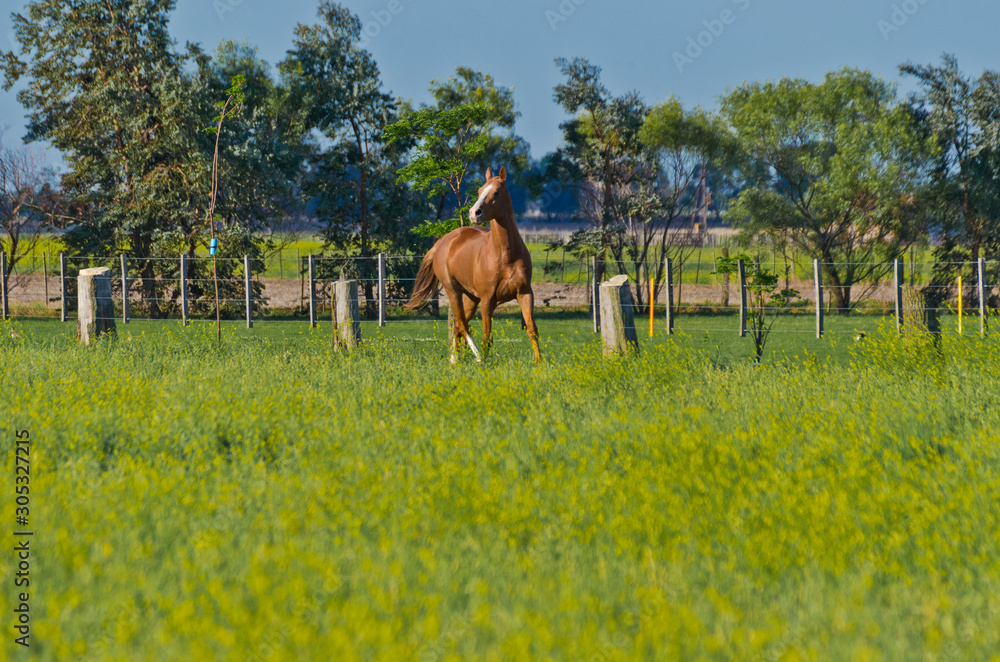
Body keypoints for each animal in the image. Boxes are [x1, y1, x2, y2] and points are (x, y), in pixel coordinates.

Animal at [405, 166, 541, 364]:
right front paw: (484, 361)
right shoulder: (487, 300)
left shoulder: (524, 293)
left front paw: (539, 362)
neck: (505, 256)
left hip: (471, 298)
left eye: (496, 192)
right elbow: (487, 336)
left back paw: (455, 361)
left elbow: (532, 330)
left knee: (458, 326)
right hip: (453, 292)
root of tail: (442, 242)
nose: (474, 213)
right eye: (479, 191)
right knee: (462, 325)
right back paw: (471, 358)